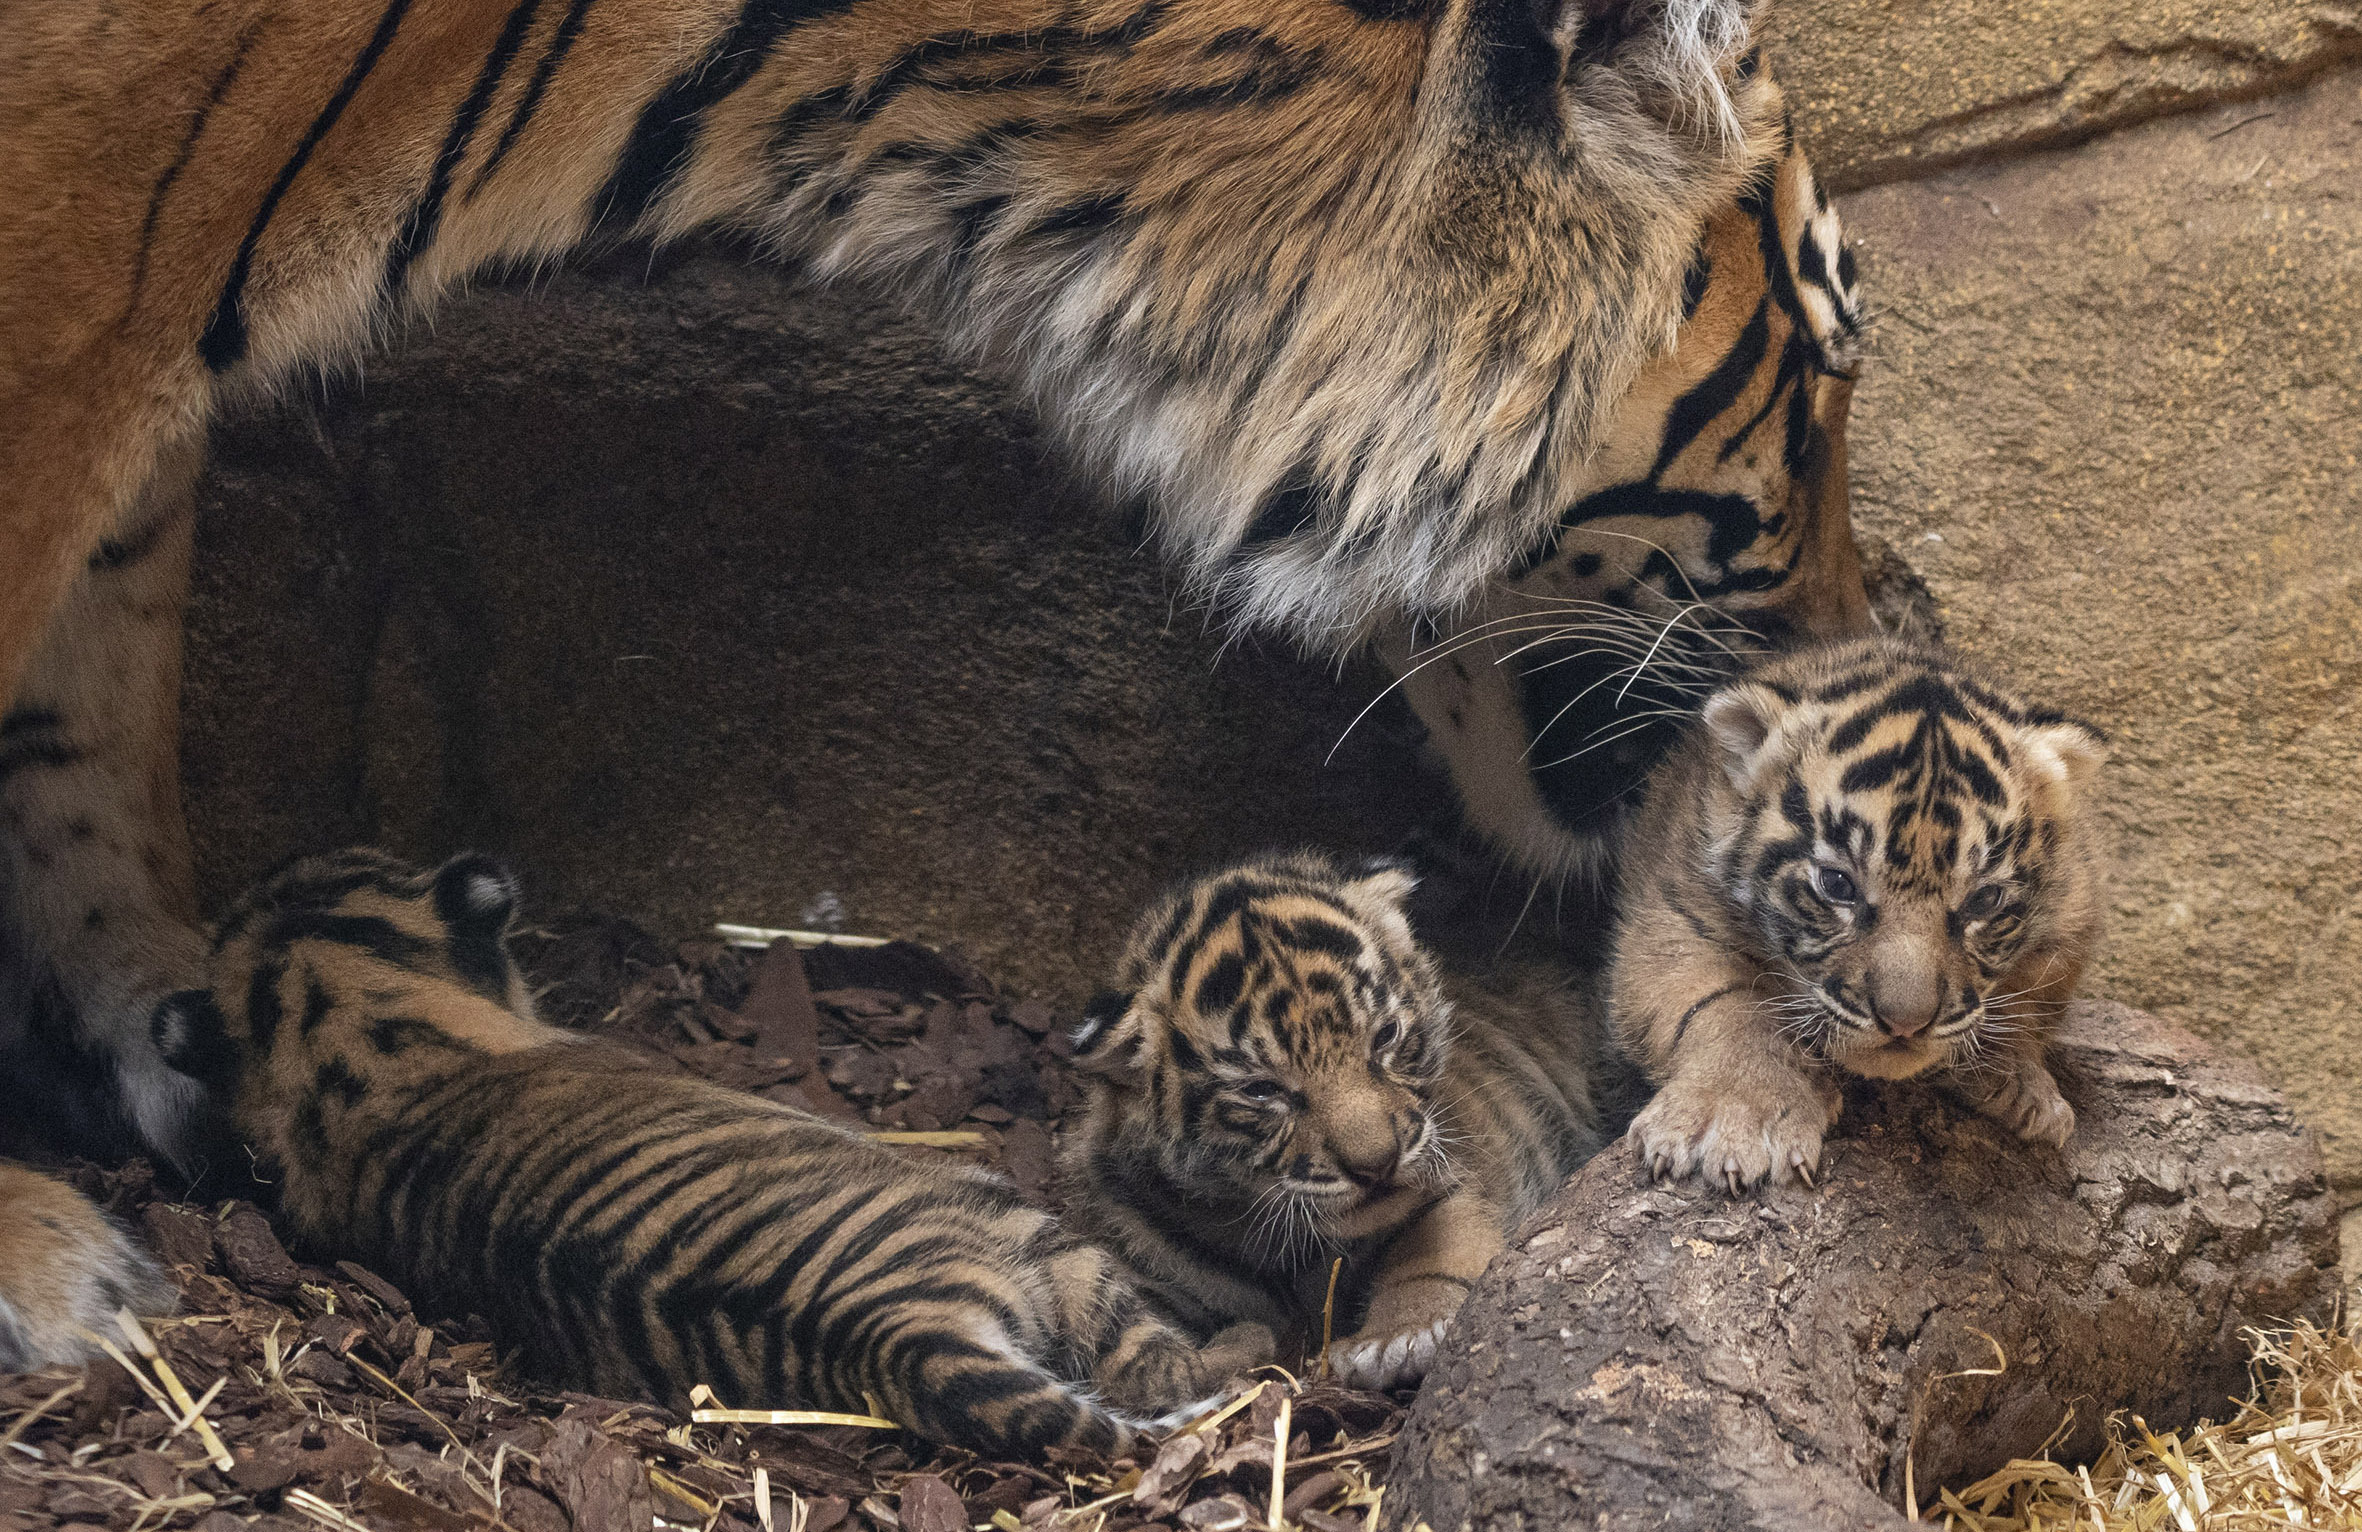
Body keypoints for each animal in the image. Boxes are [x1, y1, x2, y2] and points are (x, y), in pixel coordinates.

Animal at [1061, 851, 1602, 1391]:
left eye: (1385, 1036)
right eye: (1262, 1090)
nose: (1378, 1164)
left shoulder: (1441, 1183)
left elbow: (1436, 1247)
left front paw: (1400, 1337)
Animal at [1610, 636, 2108, 1194]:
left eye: (1984, 901)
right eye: (1837, 885)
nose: (1906, 1024)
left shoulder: (2075, 907)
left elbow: (2031, 1003)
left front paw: (2020, 1090)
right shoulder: (1672, 910)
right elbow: (1724, 1004)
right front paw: (1739, 1112)